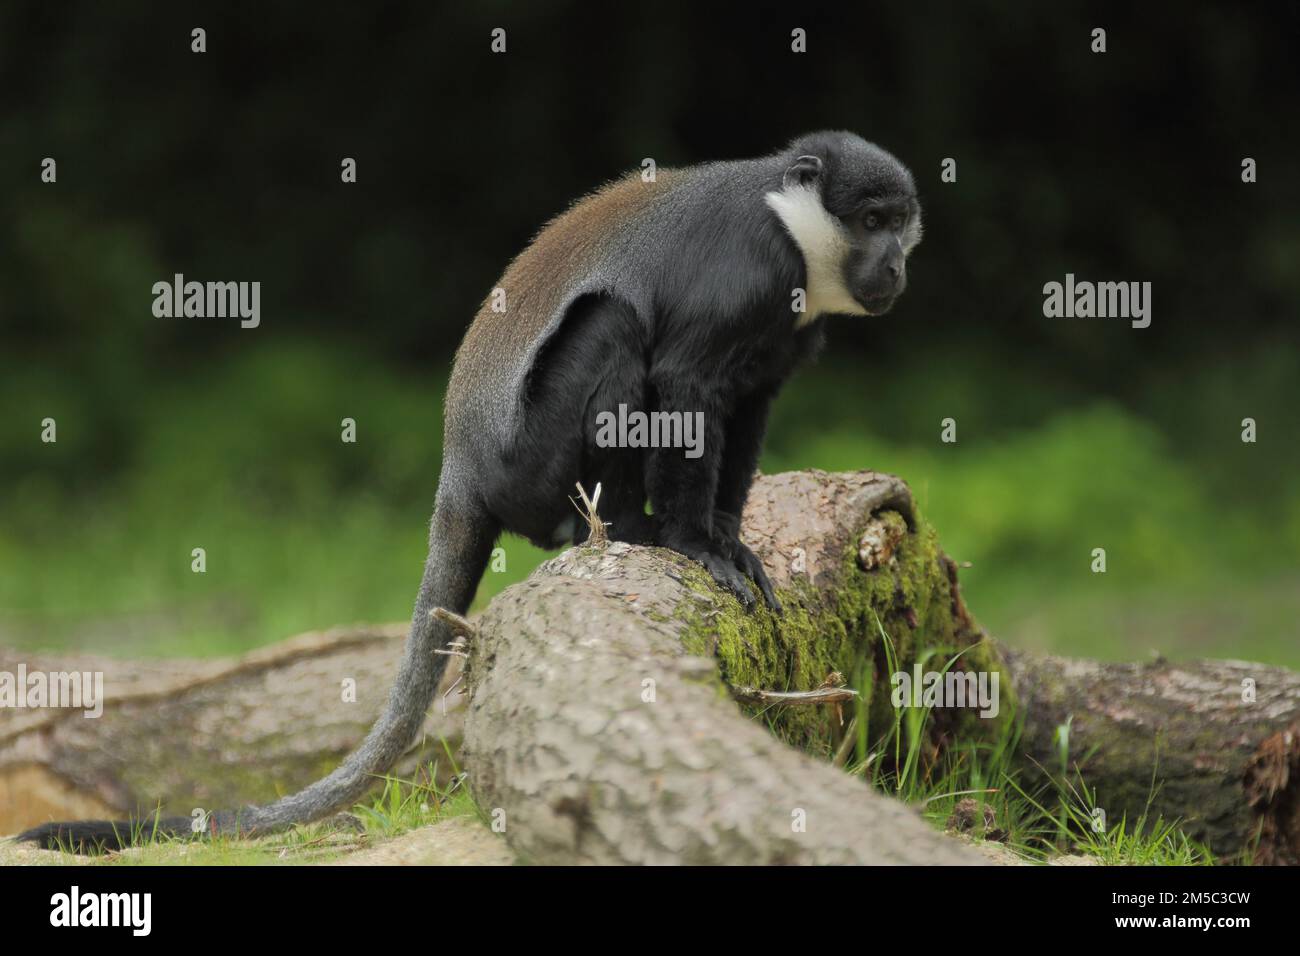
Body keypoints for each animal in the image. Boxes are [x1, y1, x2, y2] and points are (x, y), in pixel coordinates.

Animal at [16, 130, 921, 852]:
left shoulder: (778, 342)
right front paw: (697, 545)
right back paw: (621, 527)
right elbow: (687, 383)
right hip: (533, 461)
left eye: (901, 224)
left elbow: (748, 406)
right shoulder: (746, 277)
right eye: (871, 220)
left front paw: (731, 541)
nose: (897, 263)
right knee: (609, 324)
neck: (792, 223)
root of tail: (459, 466)